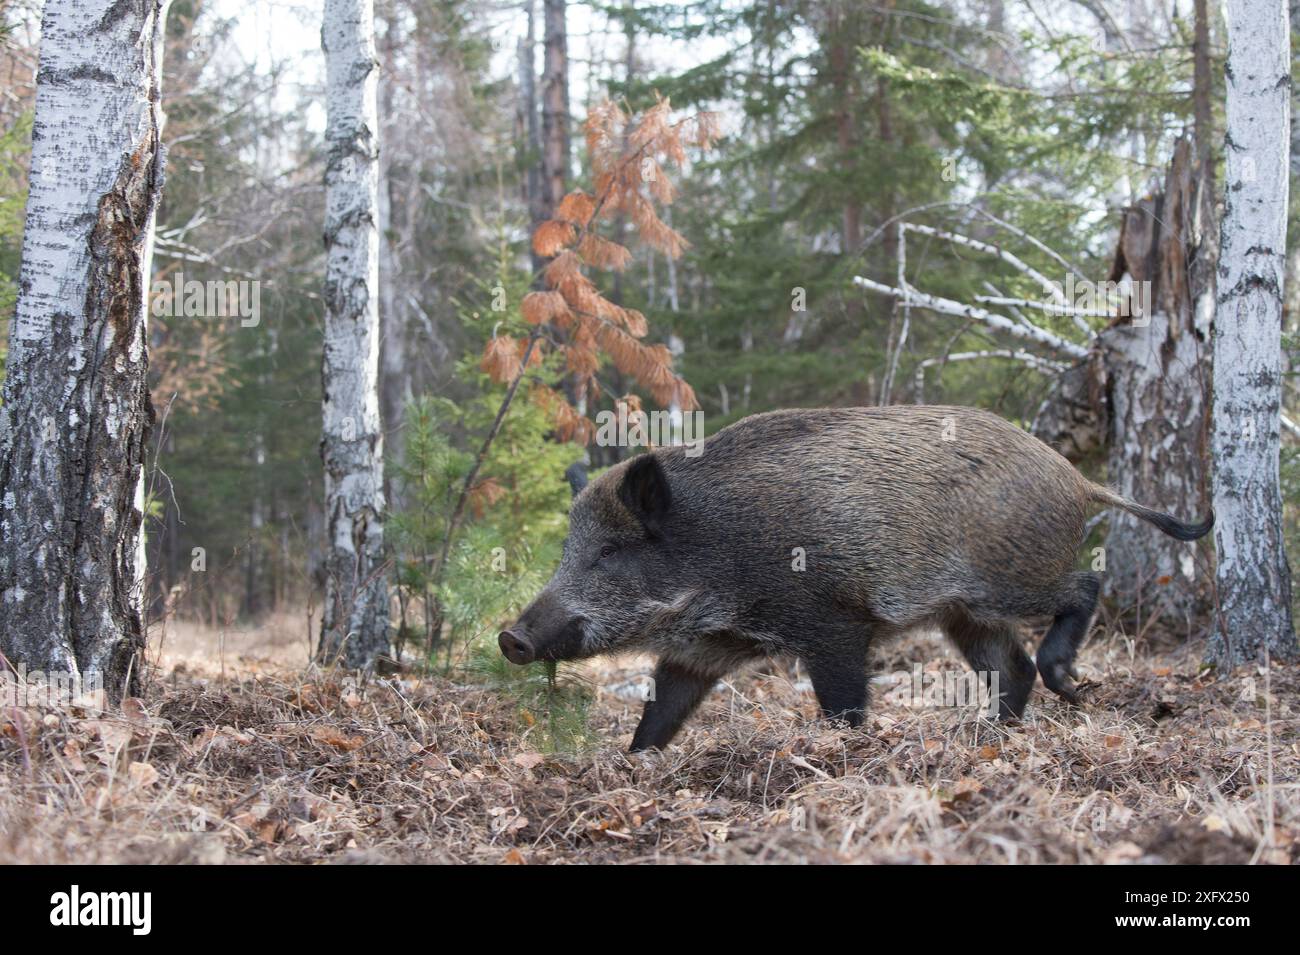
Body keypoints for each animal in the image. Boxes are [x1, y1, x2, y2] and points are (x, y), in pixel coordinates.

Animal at [498, 405, 1213, 751]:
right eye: (568, 547)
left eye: (611, 550)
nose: (511, 637)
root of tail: (1078, 479)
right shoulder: (700, 651)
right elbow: (659, 716)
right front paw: (634, 767)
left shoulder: (834, 623)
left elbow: (844, 707)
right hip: (963, 611)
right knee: (1011, 665)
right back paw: (987, 738)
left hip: (1008, 577)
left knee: (1083, 589)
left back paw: (1062, 684)